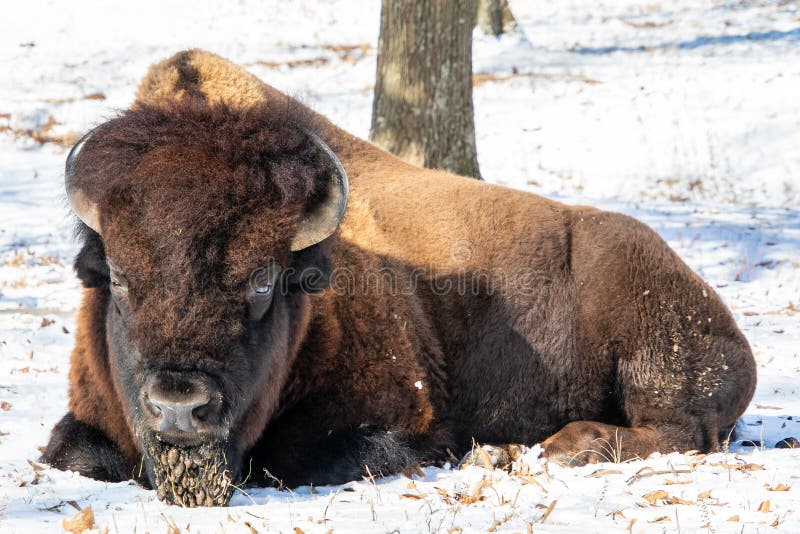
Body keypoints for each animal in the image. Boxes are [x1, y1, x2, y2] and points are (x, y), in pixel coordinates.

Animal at [42, 49, 756, 507]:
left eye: (263, 282)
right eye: (119, 278)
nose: (179, 405)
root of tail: (717, 312)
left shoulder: (400, 421)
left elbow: (318, 458)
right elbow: (68, 452)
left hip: (654, 362)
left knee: (680, 434)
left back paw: (546, 450)